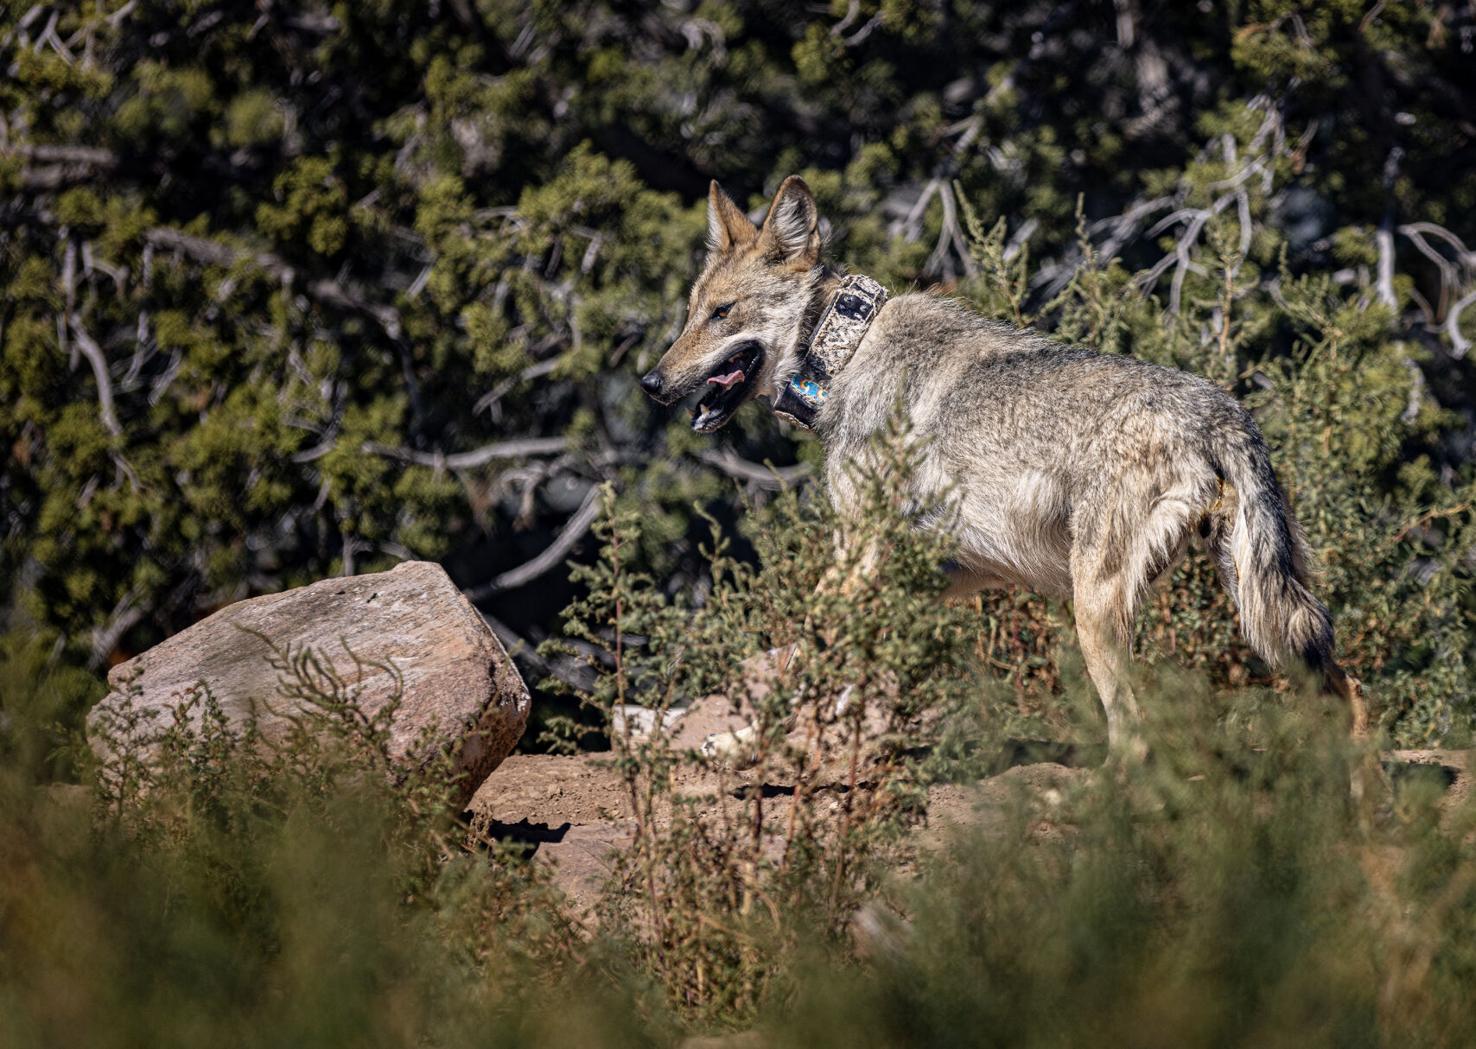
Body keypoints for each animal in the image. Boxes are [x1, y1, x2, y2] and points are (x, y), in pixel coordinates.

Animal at [640, 175, 1367, 759]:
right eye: (690, 313)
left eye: (721, 314)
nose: (650, 383)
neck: (845, 354)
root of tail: (1221, 410)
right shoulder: (923, 576)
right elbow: (840, 672)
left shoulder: (856, 556)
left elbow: (798, 658)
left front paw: (736, 746)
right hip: (1260, 613)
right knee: (1349, 689)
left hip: (1101, 611)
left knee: (1135, 733)